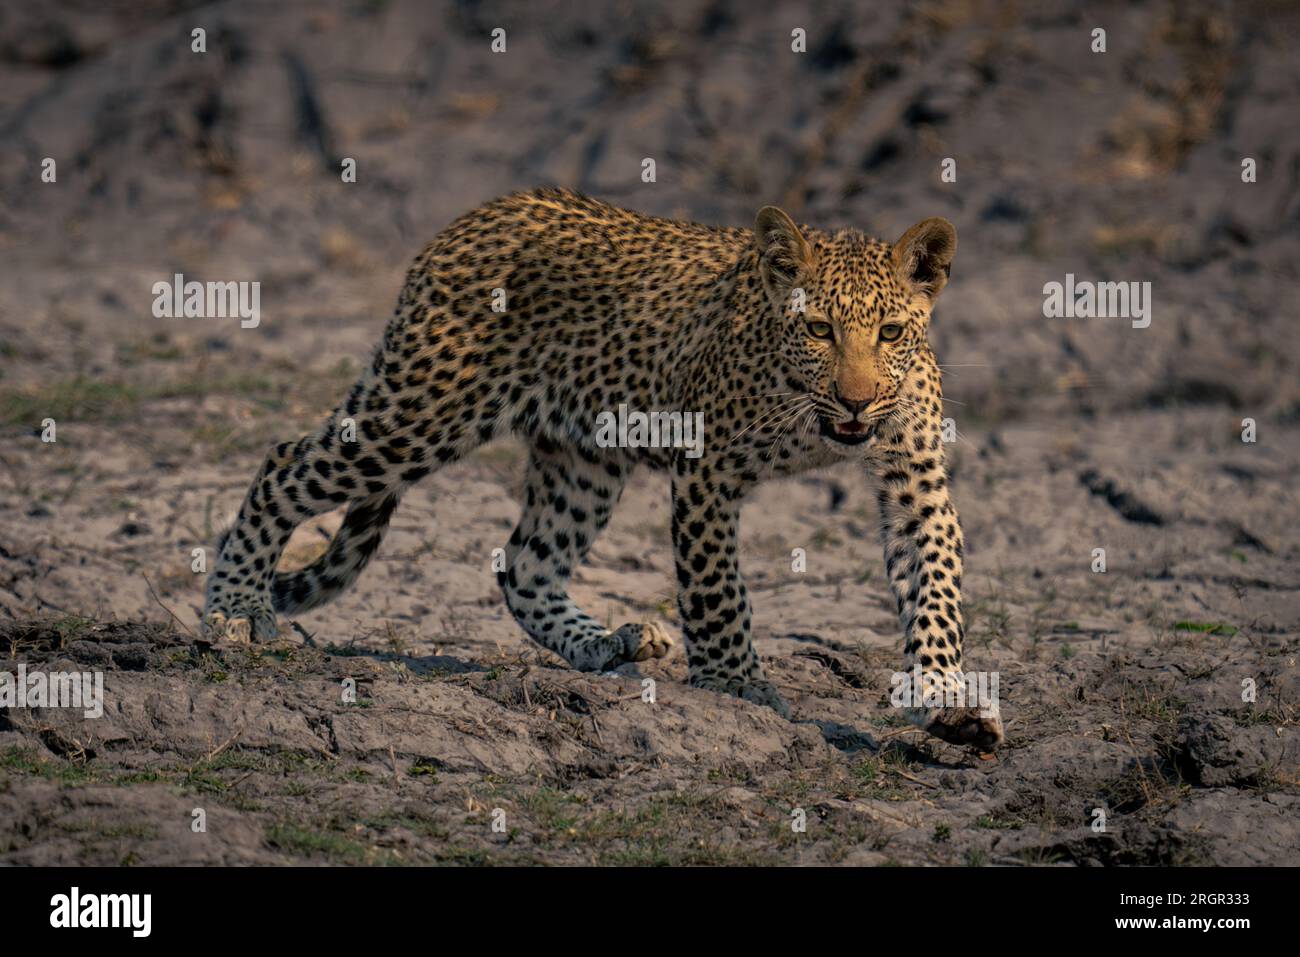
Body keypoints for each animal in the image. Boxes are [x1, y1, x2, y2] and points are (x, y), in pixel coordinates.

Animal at [202, 186, 1004, 750]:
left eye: (891, 332)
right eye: (817, 329)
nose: (856, 399)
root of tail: (466, 222)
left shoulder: (916, 481)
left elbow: (934, 588)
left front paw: (945, 697)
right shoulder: (707, 469)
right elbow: (717, 591)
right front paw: (735, 684)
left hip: (582, 456)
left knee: (525, 562)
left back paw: (606, 643)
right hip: (421, 415)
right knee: (284, 463)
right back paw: (234, 606)